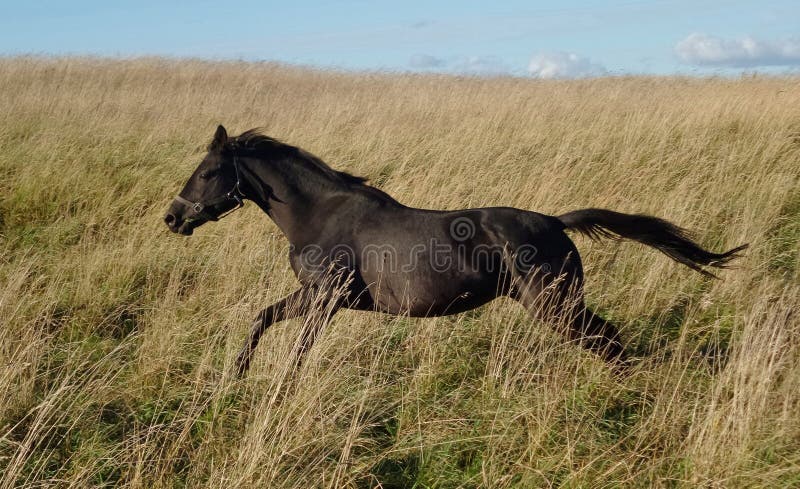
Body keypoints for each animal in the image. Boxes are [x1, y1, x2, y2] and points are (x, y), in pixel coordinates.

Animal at [164, 125, 747, 376]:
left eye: (208, 172)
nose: (172, 217)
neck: (318, 214)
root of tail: (555, 223)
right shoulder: (322, 298)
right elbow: (262, 318)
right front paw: (239, 374)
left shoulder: (325, 297)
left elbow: (291, 341)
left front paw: (269, 385)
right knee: (609, 340)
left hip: (555, 303)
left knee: (609, 340)